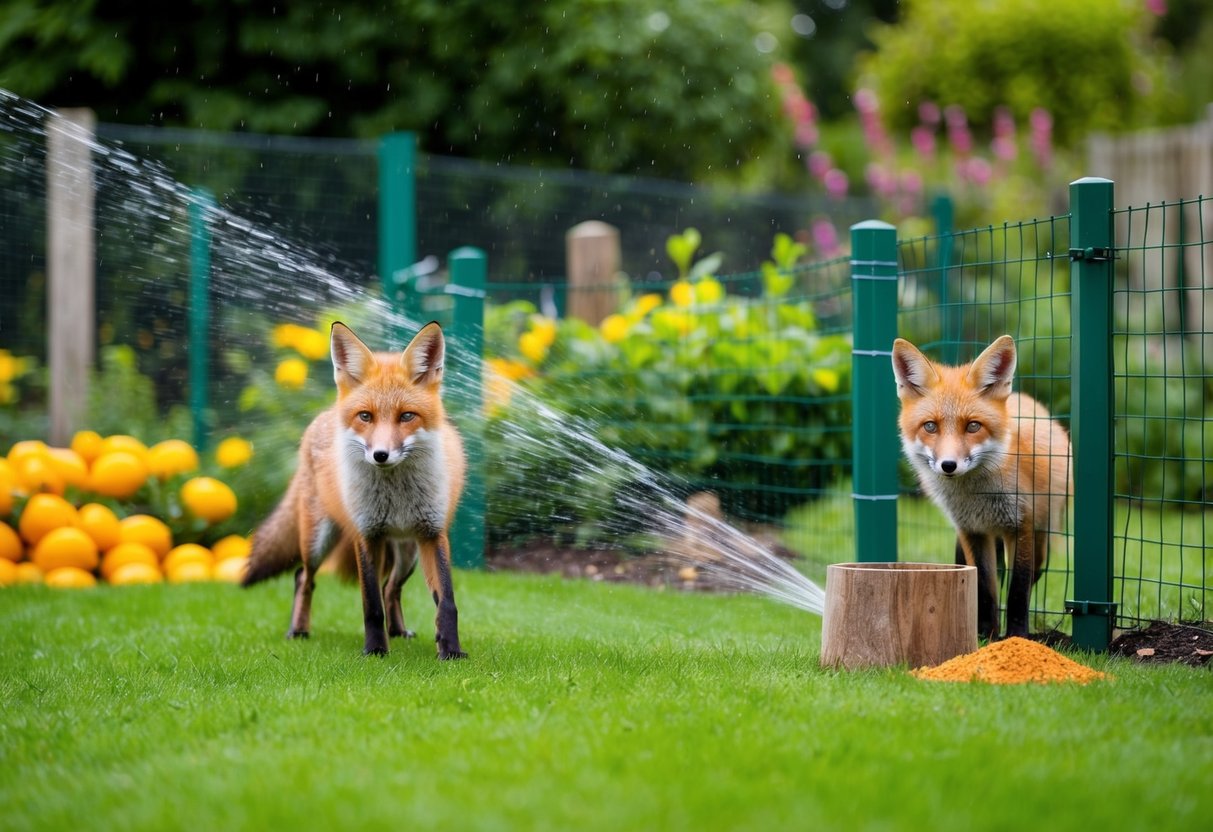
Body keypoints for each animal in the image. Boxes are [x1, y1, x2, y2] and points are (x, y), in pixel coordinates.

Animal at [242, 321, 468, 659]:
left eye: (406, 416)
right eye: (365, 416)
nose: (380, 455)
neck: (397, 497)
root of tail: (325, 415)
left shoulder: (433, 534)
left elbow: (447, 603)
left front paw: (451, 651)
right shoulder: (367, 535)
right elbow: (371, 605)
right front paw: (375, 650)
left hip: (408, 553)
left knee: (391, 587)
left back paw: (398, 631)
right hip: (318, 539)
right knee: (303, 577)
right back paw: (299, 630)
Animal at [891, 335, 1071, 640]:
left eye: (973, 426)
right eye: (930, 426)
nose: (948, 465)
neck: (977, 498)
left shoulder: (1020, 525)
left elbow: (1018, 589)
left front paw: (1016, 636)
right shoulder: (971, 529)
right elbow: (985, 586)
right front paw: (985, 634)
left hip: (1040, 538)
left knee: (1031, 575)